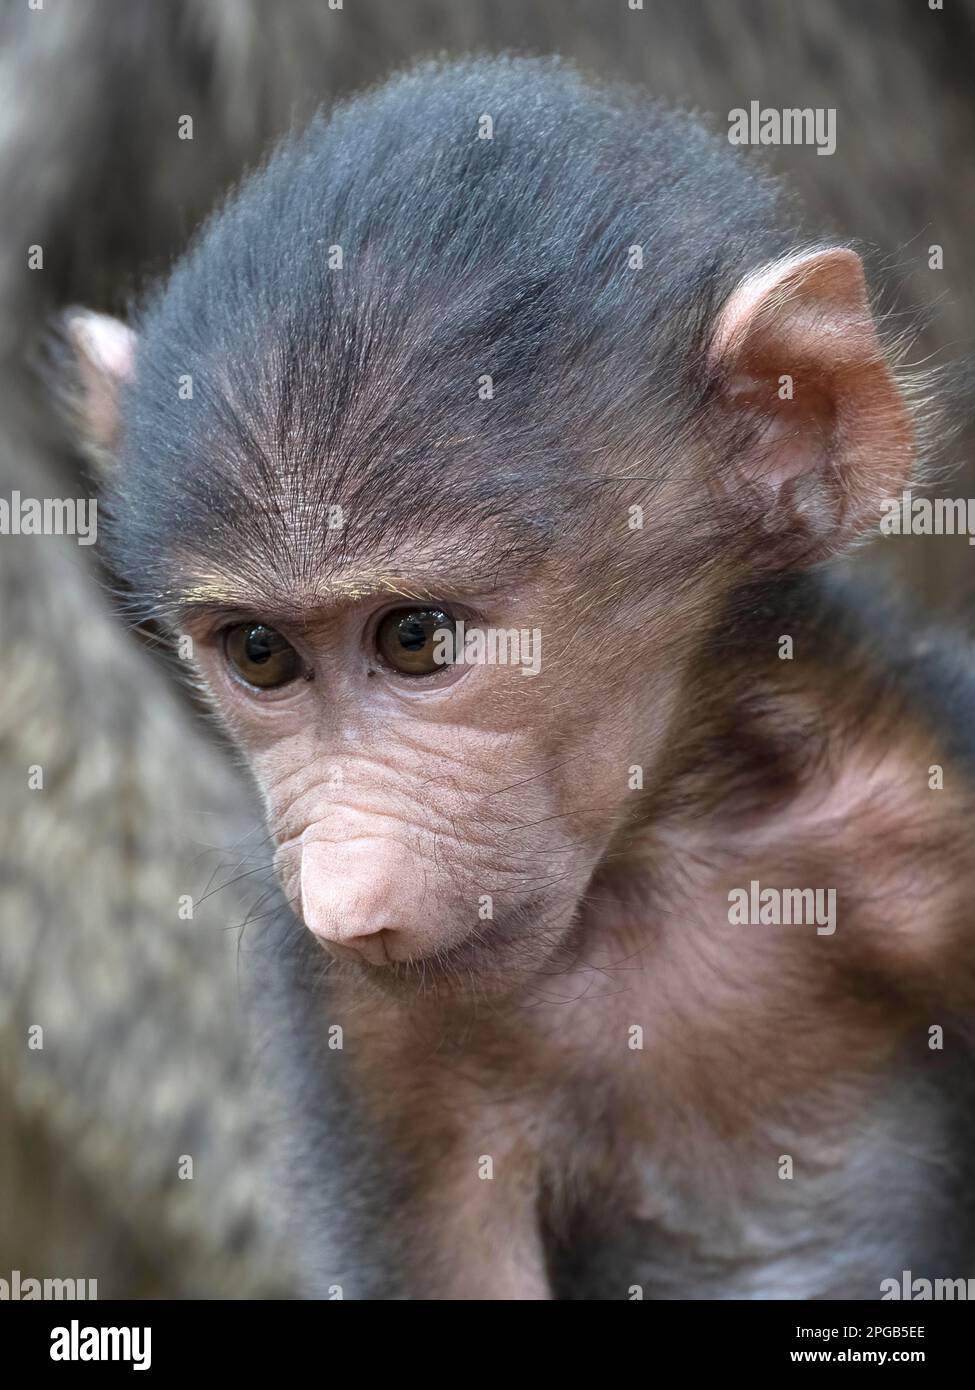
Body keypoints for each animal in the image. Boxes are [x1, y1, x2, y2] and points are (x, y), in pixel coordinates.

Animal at [4, 0, 975, 1300]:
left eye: (418, 639)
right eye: (258, 655)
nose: (346, 894)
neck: (654, 861)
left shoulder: (932, 811)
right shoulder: (365, 1023)